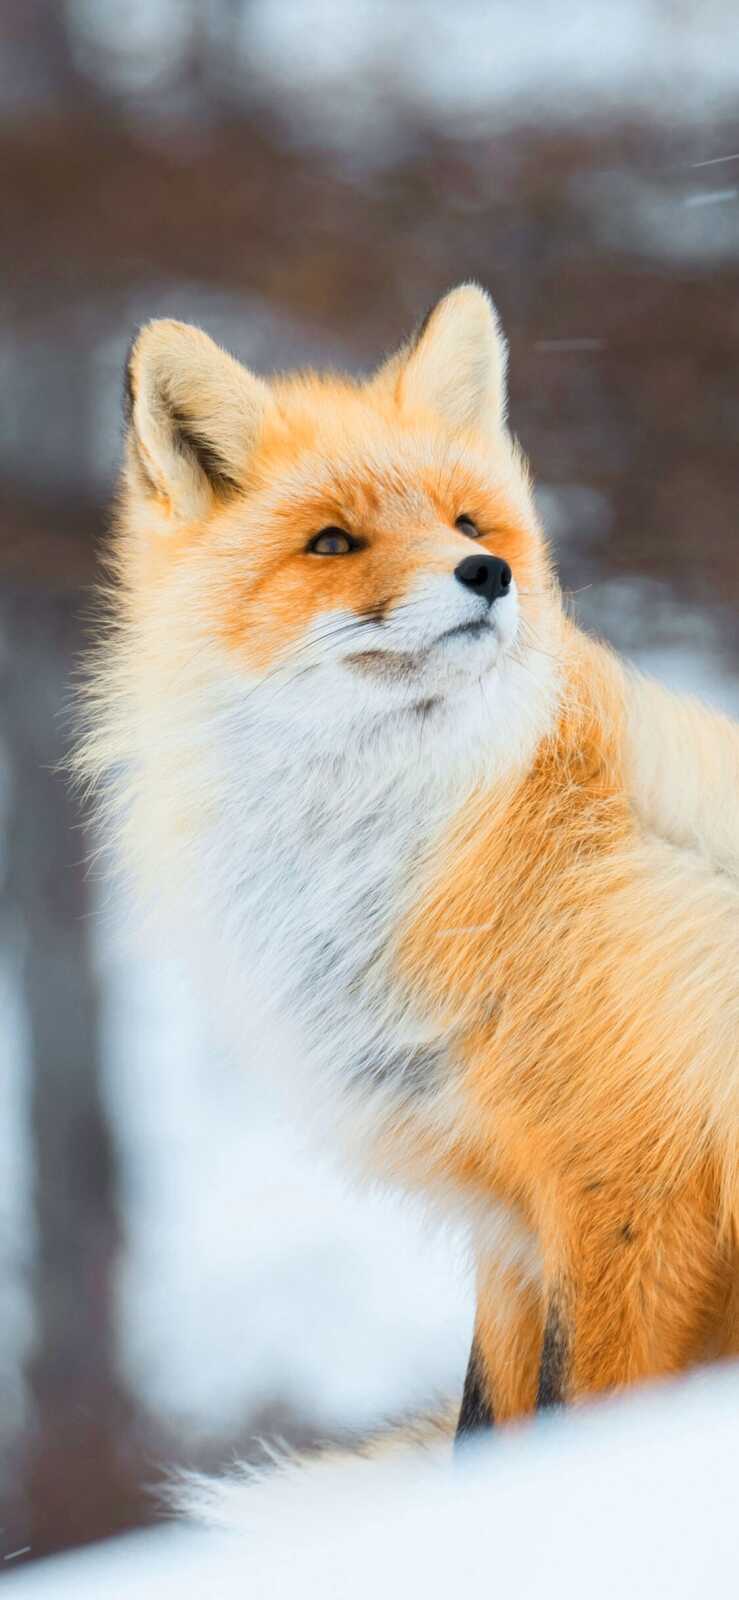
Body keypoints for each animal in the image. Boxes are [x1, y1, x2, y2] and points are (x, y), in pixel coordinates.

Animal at [77, 283, 739, 1441]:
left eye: (466, 524)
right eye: (332, 541)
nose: (488, 574)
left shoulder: (633, 1198)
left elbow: (580, 1411)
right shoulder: (510, 1221)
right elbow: (487, 1427)